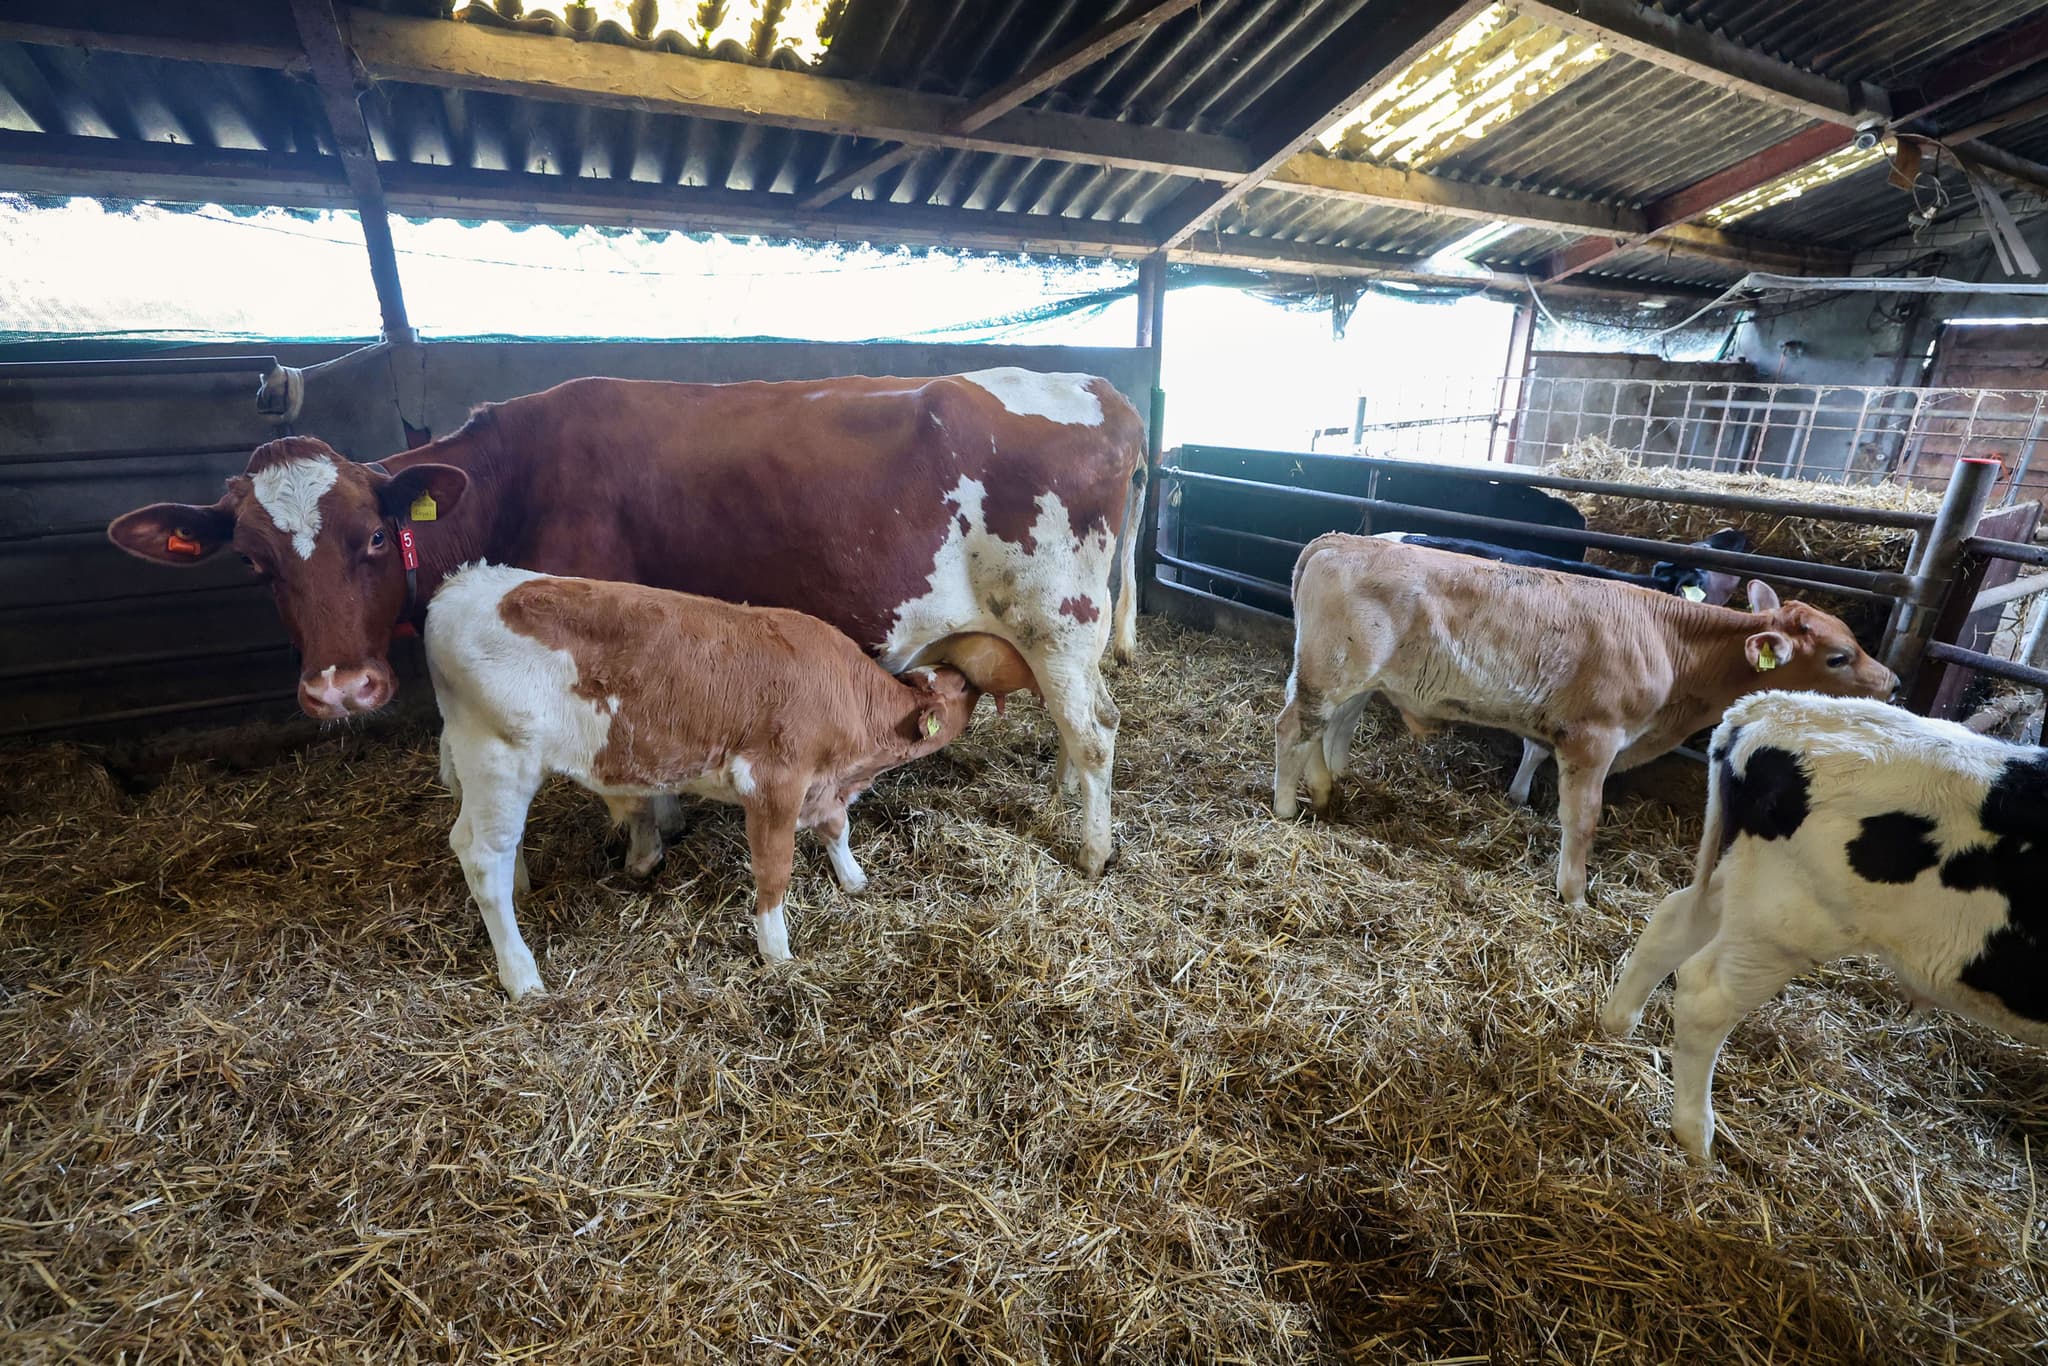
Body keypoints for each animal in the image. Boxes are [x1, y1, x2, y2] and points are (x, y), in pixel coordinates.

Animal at [107, 371, 1145, 877]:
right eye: (255, 562)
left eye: (369, 536)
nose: (341, 688)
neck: (518, 475)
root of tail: (1098, 390)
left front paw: (643, 844)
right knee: (1076, 725)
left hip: (1061, 616)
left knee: (1097, 730)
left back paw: (1092, 848)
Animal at [428, 564, 1037, 997]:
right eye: (963, 688)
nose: (976, 682)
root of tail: (459, 587)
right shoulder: (774, 781)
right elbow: (774, 868)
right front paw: (777, 951)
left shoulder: (821, 785)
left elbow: (836, 828)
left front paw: (854, 879)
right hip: (498, 757)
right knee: (481, 855)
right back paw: (521, 975)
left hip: (483, 764)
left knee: (494, 845)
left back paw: (521, 888)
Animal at [1601, 693, 2047, 1161]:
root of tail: (1774, 706)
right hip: (1785, 923)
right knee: (1706, 998)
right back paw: (1697, 1138)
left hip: (1741, 887)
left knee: (1671, 921)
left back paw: (1618, 1025)